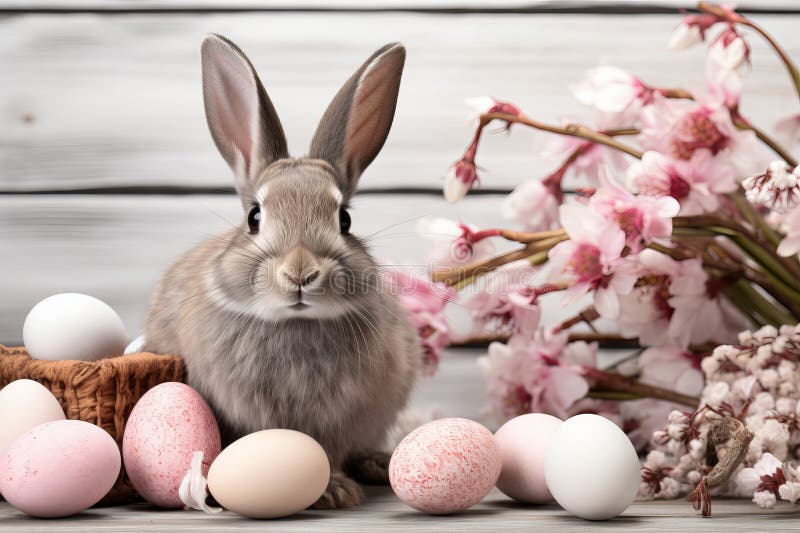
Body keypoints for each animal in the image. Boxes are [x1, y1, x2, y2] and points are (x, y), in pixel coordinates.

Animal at [142, 34, 421, 509]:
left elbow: (327, 449)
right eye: (254, 216)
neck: (295, 322)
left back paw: (377, 463)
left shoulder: (343, 416)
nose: (300, 273)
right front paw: (328, 490)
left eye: (345, 219)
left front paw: (336, 490)